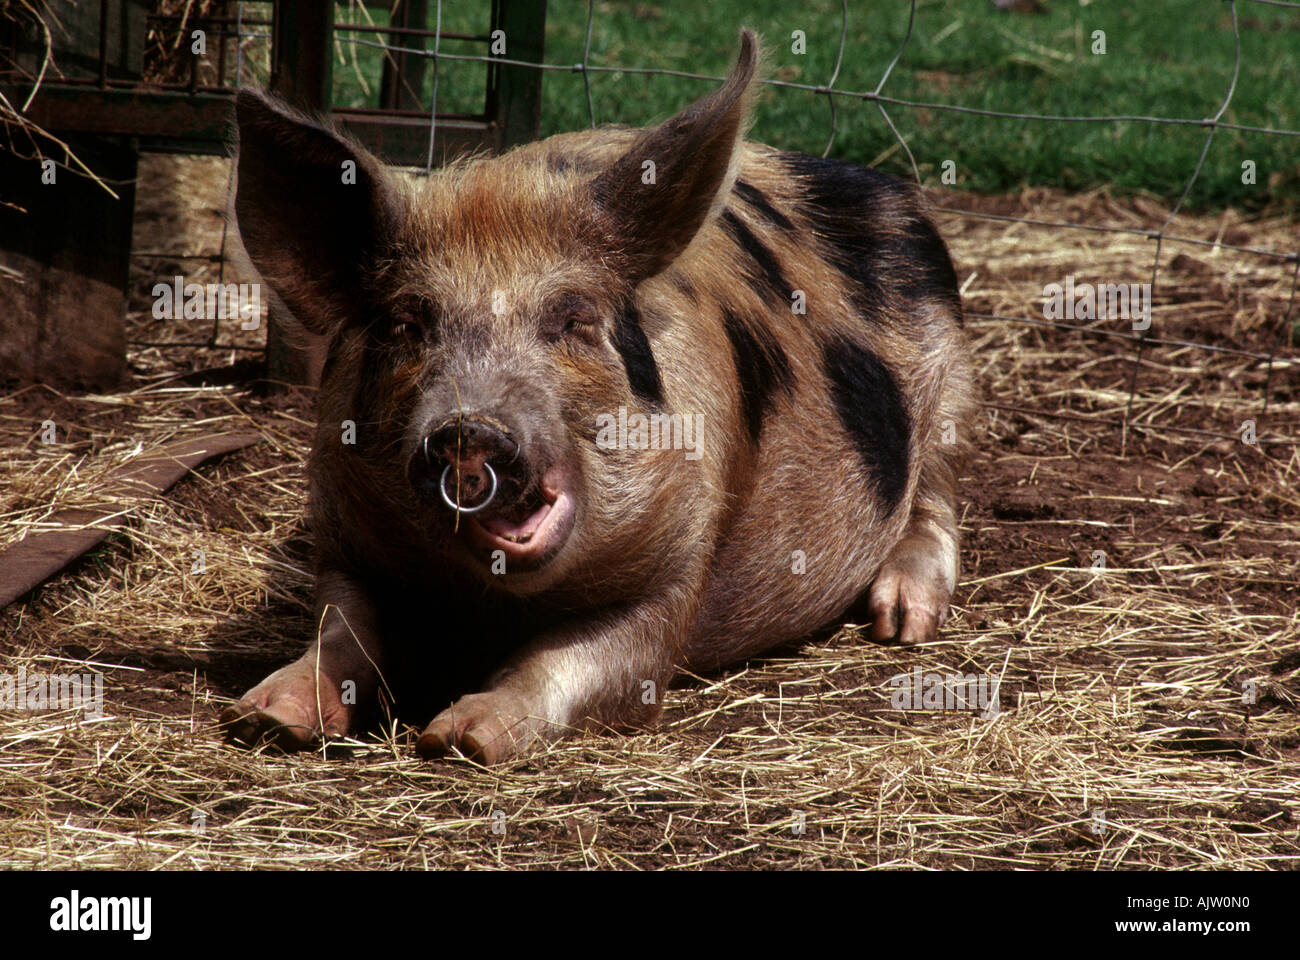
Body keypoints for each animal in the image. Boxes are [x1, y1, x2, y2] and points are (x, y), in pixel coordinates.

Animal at [219, 29, 975, 764]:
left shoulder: (679, 559)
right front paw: (265, 719)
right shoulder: (343, 535)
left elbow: (575, 658)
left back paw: (900, 624)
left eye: (573, 319)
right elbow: (340, 628)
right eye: (409, 324)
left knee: (937, 497)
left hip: (951, 384)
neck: (490, 606)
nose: (469, 427)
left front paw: (459, 737)